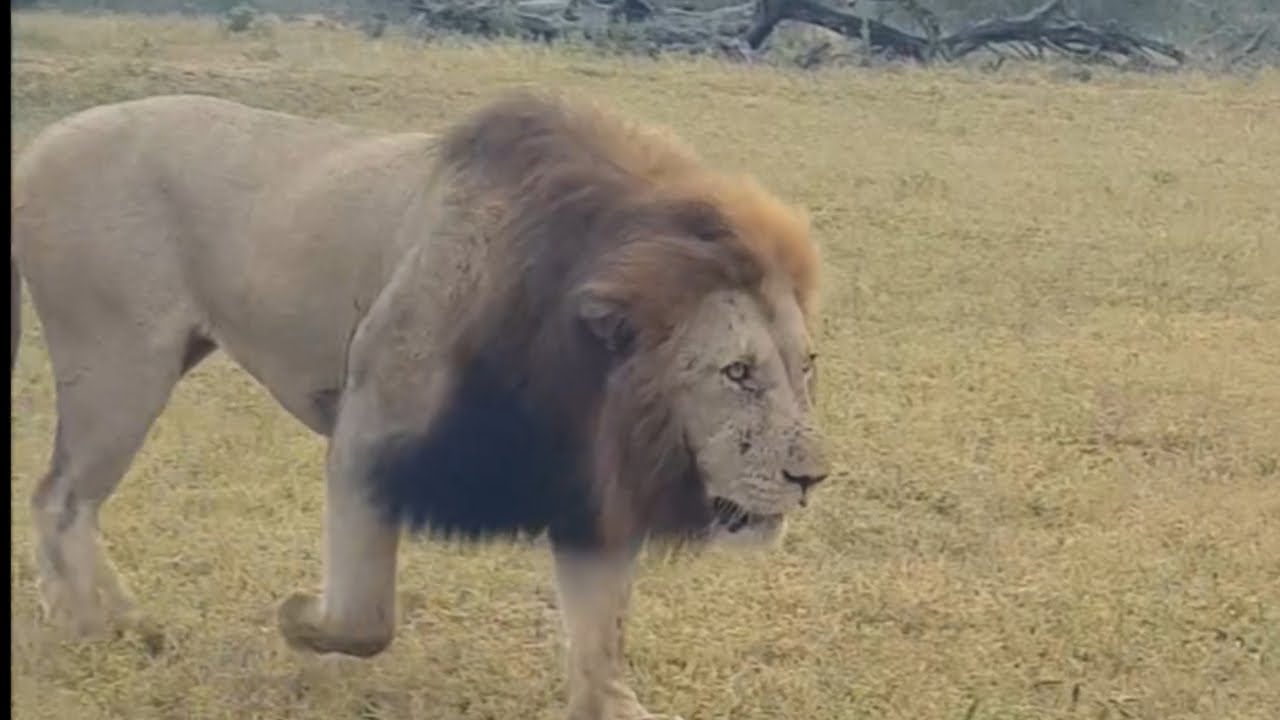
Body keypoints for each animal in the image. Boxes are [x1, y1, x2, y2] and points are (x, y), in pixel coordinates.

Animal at [10, 91, 829, 719]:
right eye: (737, 372)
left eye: (806, 367)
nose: (812, 479)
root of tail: (42, 142)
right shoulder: (369, 433)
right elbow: (366, 619)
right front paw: (300, 620)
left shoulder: (585, 487)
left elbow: (602, 646)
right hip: (119, 366)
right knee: (60, 497)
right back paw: (97, 627)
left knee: (66, 499)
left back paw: (117, 623)